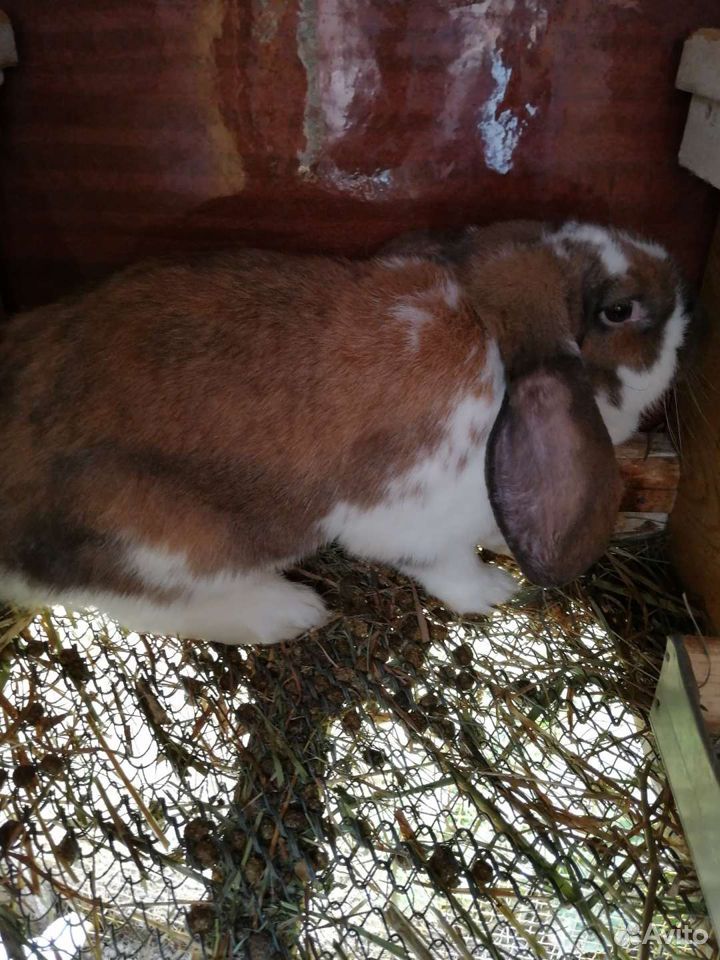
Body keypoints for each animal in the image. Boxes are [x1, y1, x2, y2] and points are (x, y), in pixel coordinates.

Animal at [0, 221, 694, 645]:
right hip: (164, 542)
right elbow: (448, 567)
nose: (684, 285)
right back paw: (288, 611)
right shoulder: (410, 524)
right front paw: (494, 593)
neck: (486, 323)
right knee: (145, 608)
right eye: (620, 310)